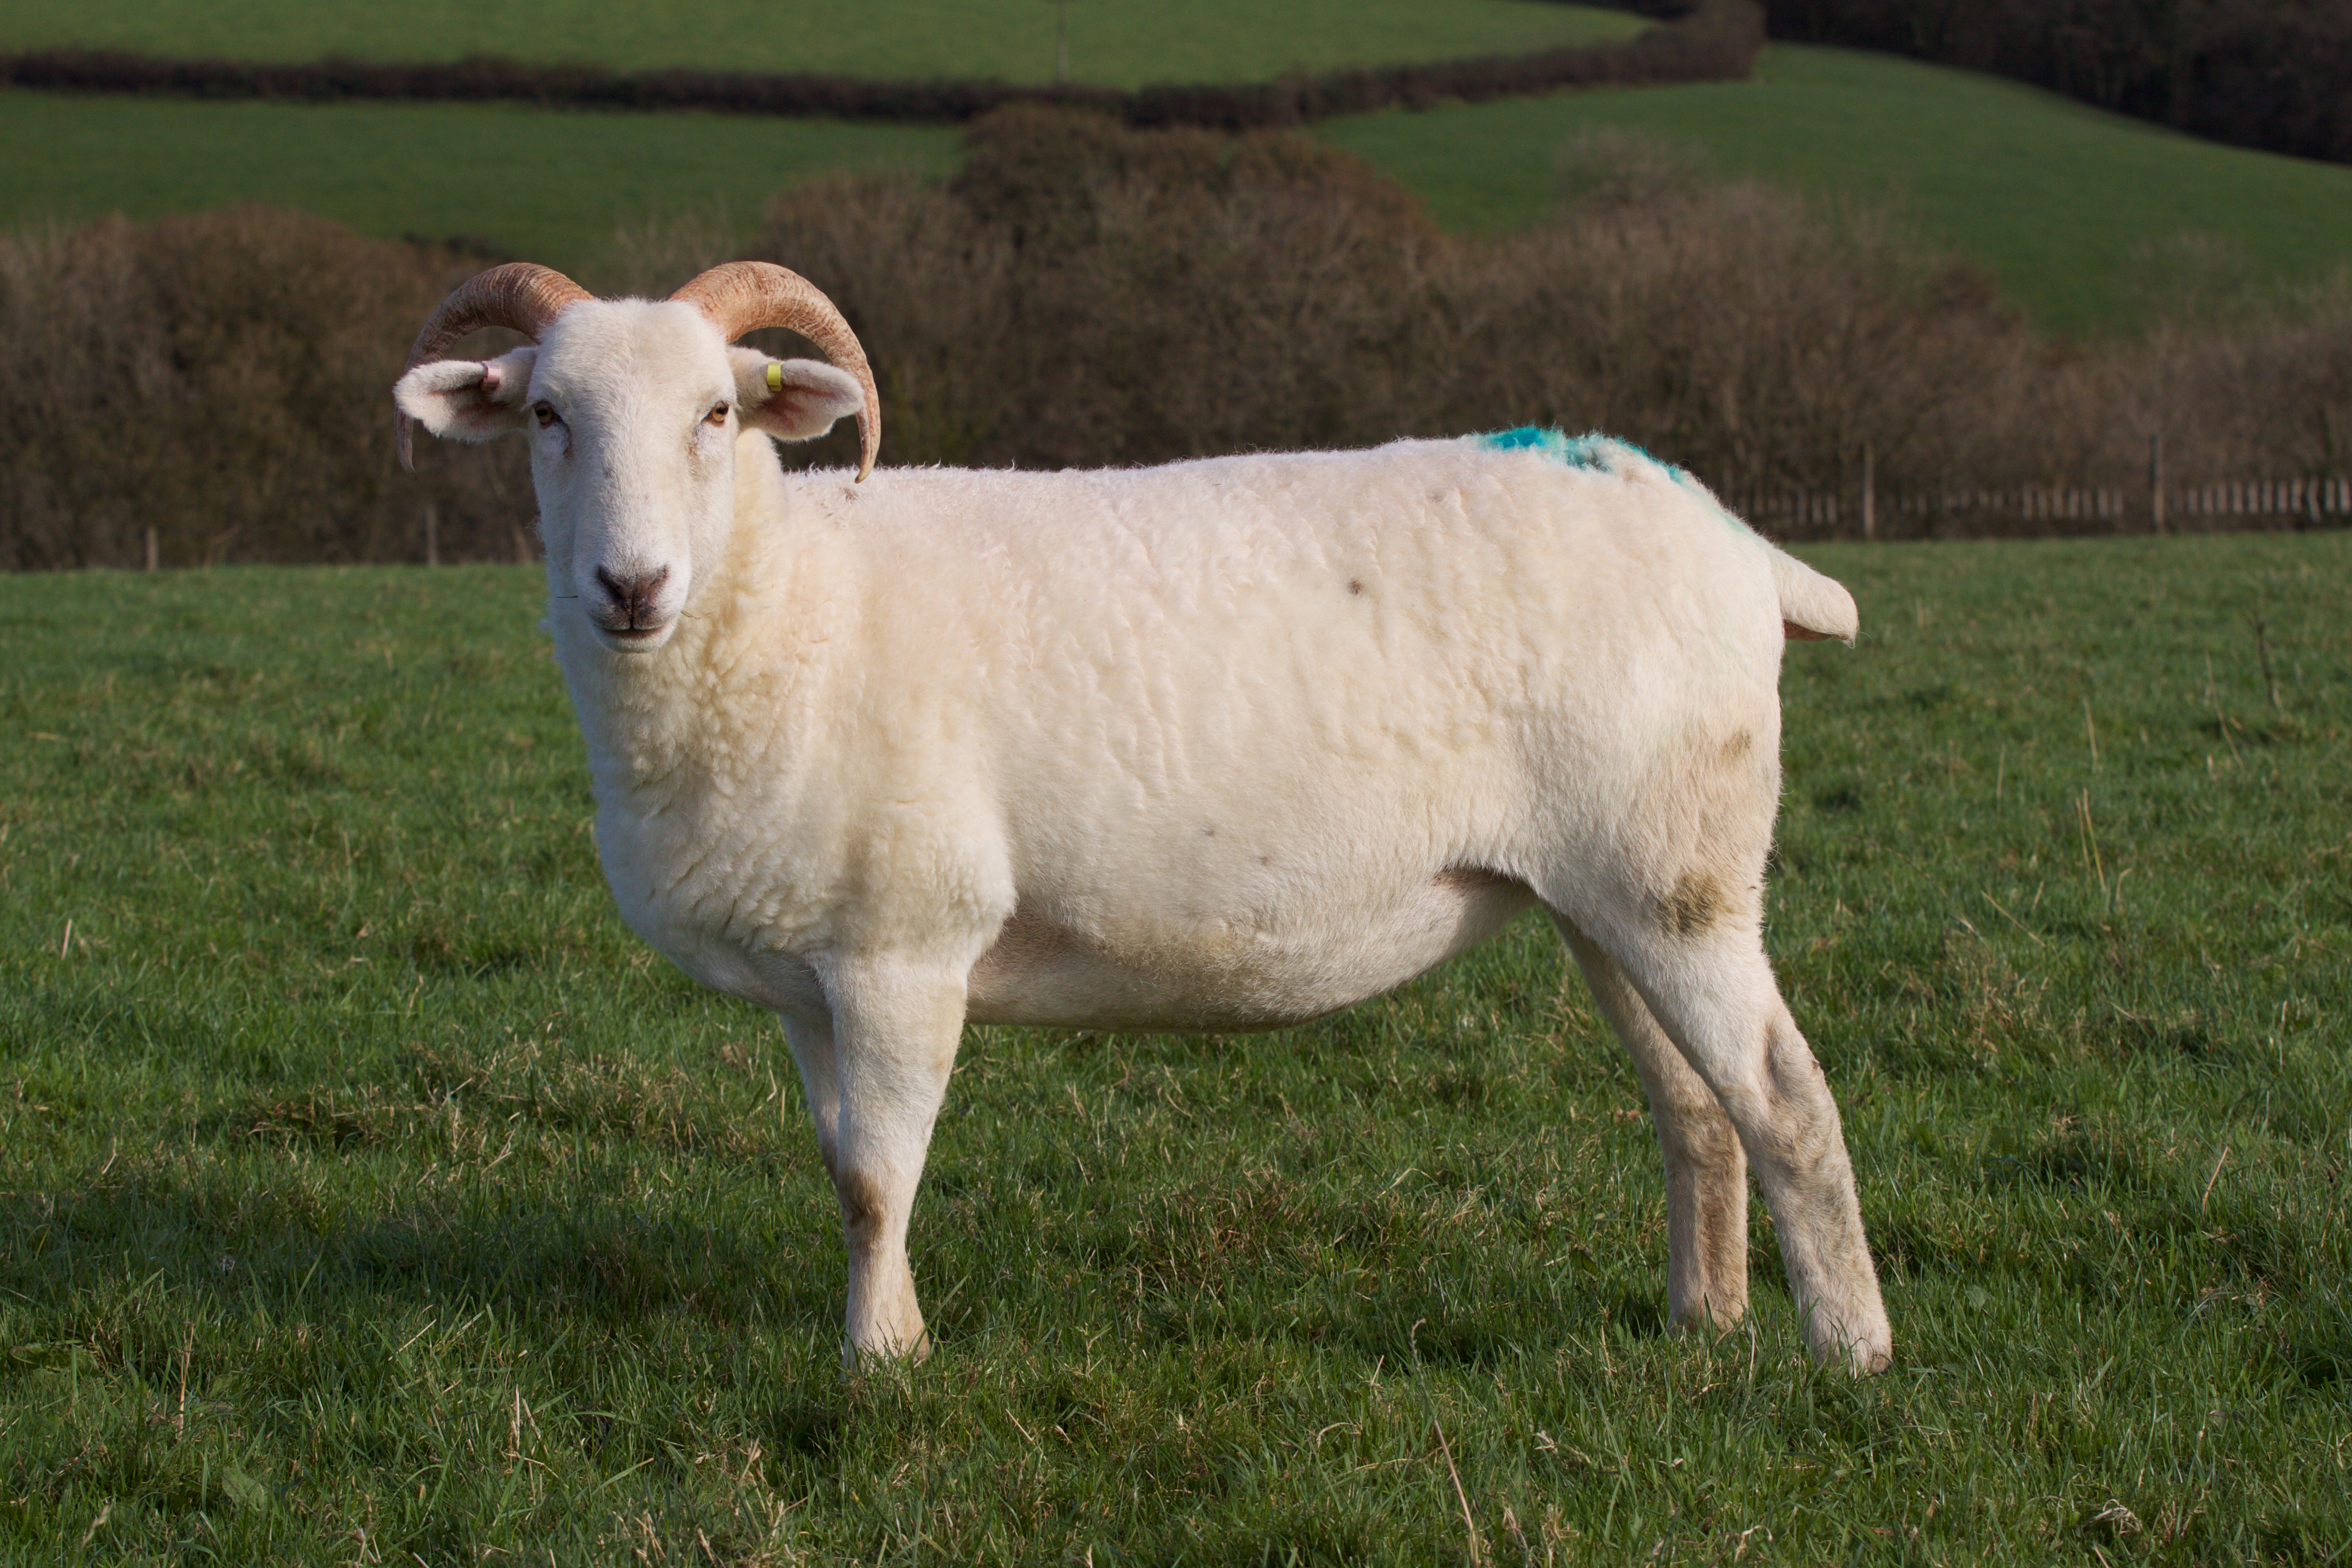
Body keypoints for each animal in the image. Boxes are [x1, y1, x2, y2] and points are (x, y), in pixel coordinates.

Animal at [393, 261, 1891, 1374]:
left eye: (717, 412)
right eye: (546, 416)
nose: (630, 586)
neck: (790, 603)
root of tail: (1723, 530)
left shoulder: (902, 949)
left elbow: (879, 1174)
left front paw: (880, 1365)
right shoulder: (809, 976)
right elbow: (841, 1171)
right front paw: (886, 1335)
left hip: (1676, 868)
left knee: (1783, 1096)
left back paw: (1849, 1352)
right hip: (1604, 890)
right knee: (1696, 1107)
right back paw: (1703, 1321)